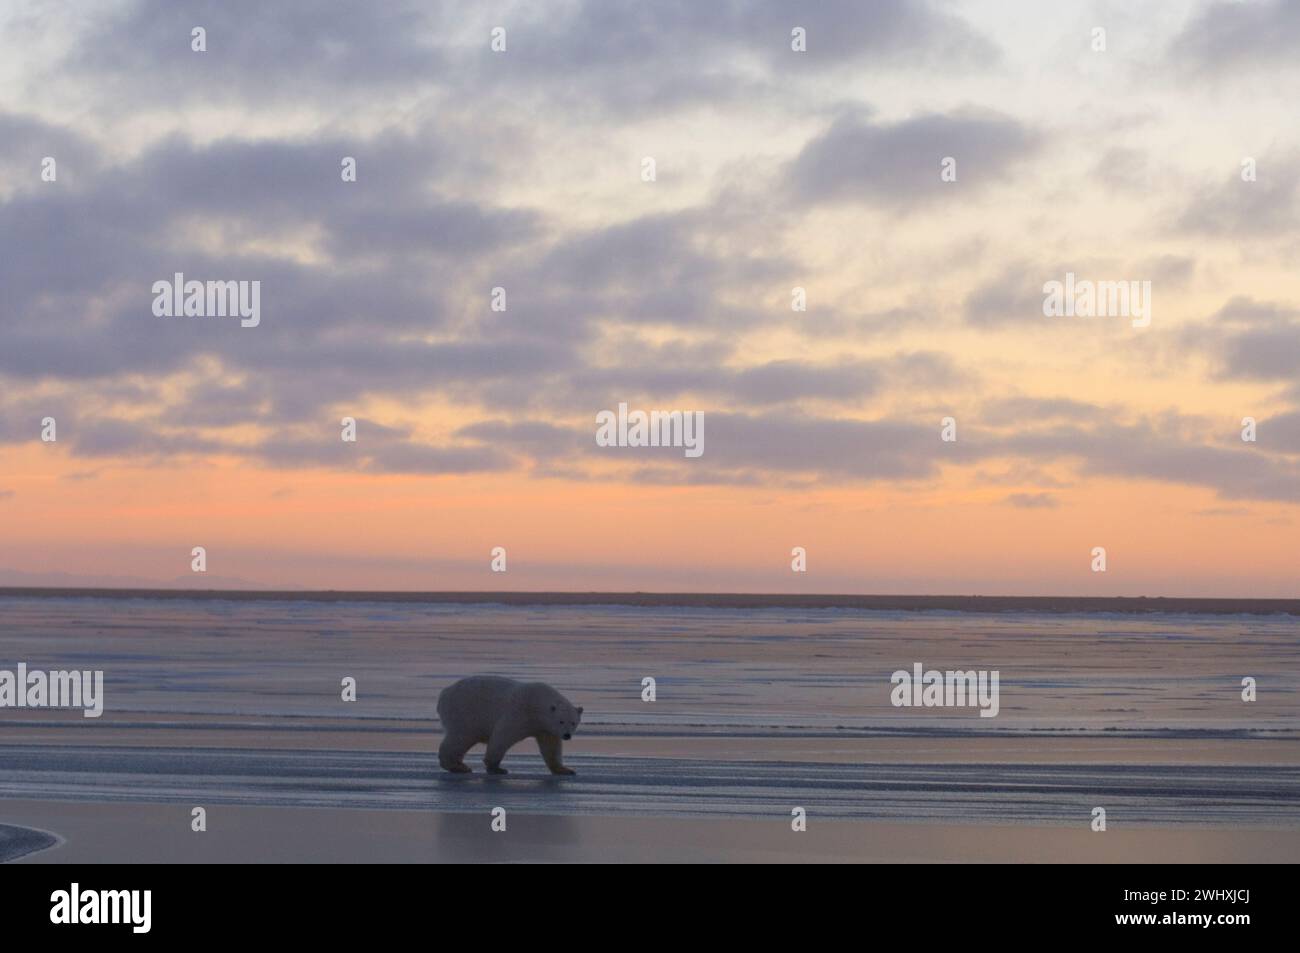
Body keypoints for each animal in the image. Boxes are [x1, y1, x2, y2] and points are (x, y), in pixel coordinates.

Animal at [437, 675, 583, 776]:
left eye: (573, 722)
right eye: (561, 721)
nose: (567, 735)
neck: (537, 706)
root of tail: (444, 693)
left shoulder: (545, 728)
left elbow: (551, 747)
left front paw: (566, 770)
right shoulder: (520, 713)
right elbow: (502, 735)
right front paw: (497, 768)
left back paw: (459, 765)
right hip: (466, 711)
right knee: (461, 737)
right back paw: (457, 766)